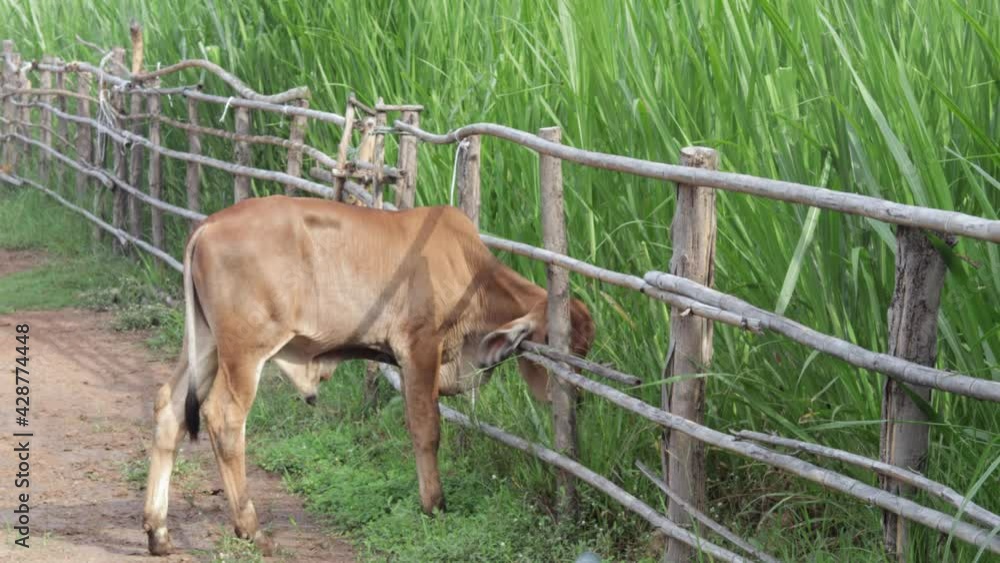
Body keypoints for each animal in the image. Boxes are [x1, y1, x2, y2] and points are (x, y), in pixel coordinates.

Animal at [142, 196, 595, 555]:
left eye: (585, 349)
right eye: (556, 343)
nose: (575, 400)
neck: (473, 275)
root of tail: (208, 226)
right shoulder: (420, 347)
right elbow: (426, 430)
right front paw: (434, 505)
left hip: (205, 343)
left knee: (169, 408)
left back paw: (158, 531)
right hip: (244, 350)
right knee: (225, 418)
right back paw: (251, 530)